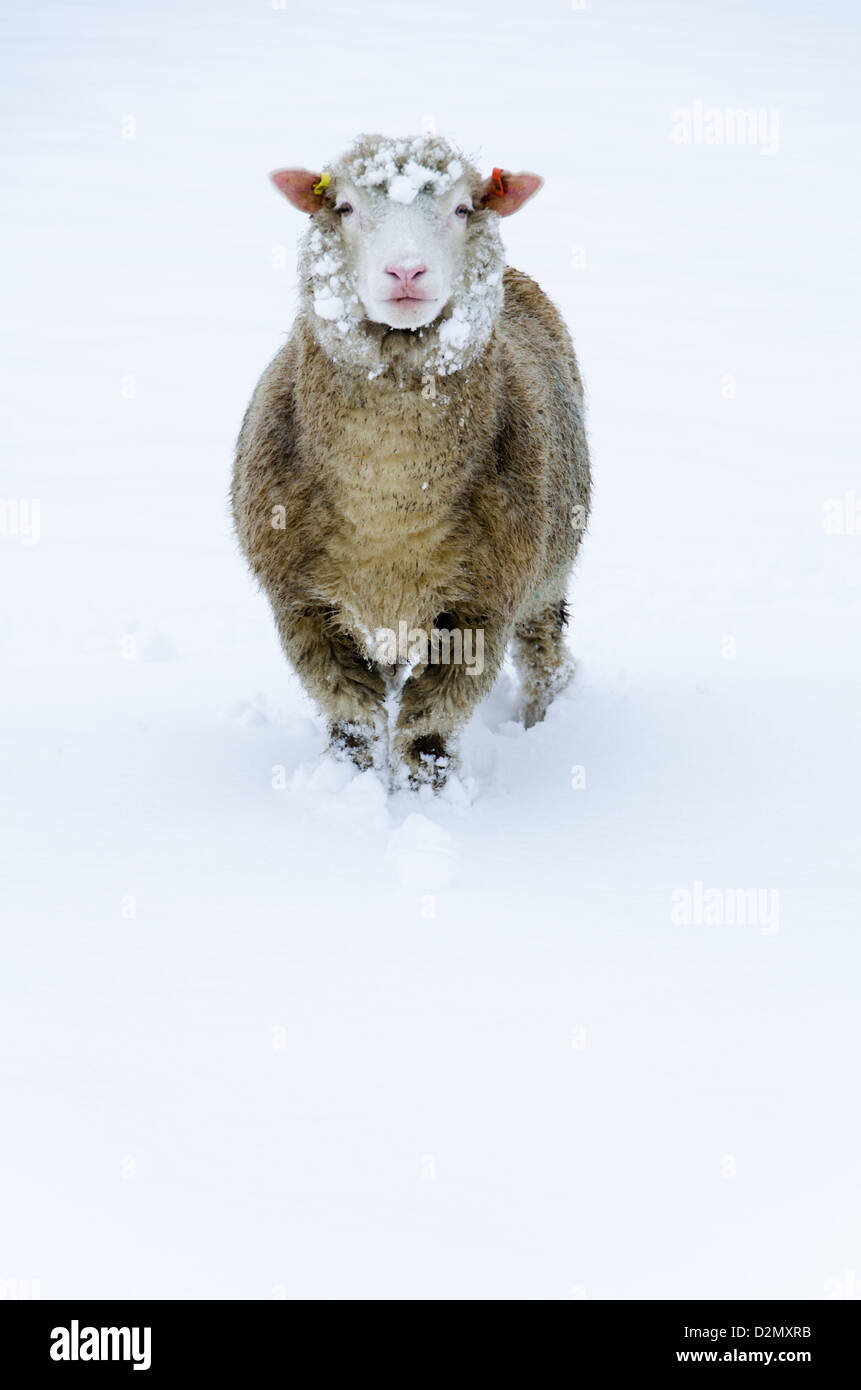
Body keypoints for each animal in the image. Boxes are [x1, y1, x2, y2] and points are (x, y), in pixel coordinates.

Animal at [232, 134, 591, 788]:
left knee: (546, 656)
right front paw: (349, 781)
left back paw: (542, 721)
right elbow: (353, 717)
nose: (405, 271)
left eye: (463, 207)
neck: (390, 502)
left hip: (546, 578)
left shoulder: (479, 613)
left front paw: (428, 793)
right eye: (344, 206)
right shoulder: (305, 608)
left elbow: (427, 730)